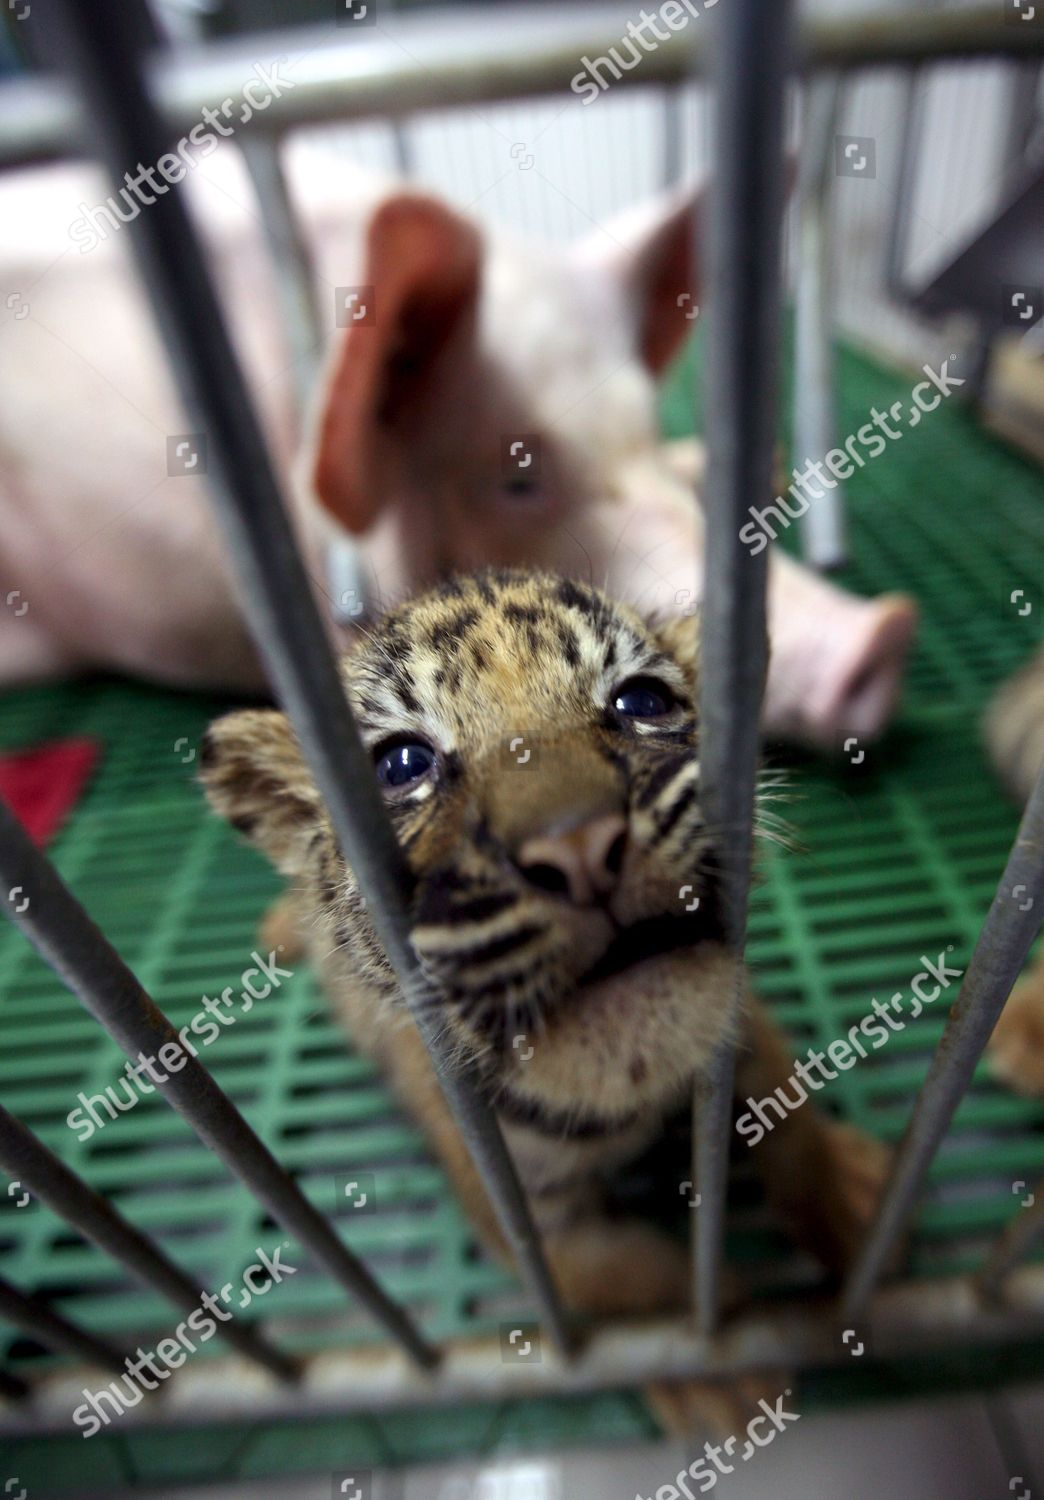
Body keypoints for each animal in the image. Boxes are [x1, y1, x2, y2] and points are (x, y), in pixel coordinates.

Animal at [199, 568, 889, 1424]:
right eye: (401, 764)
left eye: (641, 700)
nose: (580, 847)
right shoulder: (520, 1213)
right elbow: (623, 1278)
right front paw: (715, 1360)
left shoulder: (733, 1016)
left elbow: (783, 1100)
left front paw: (854, 1198)